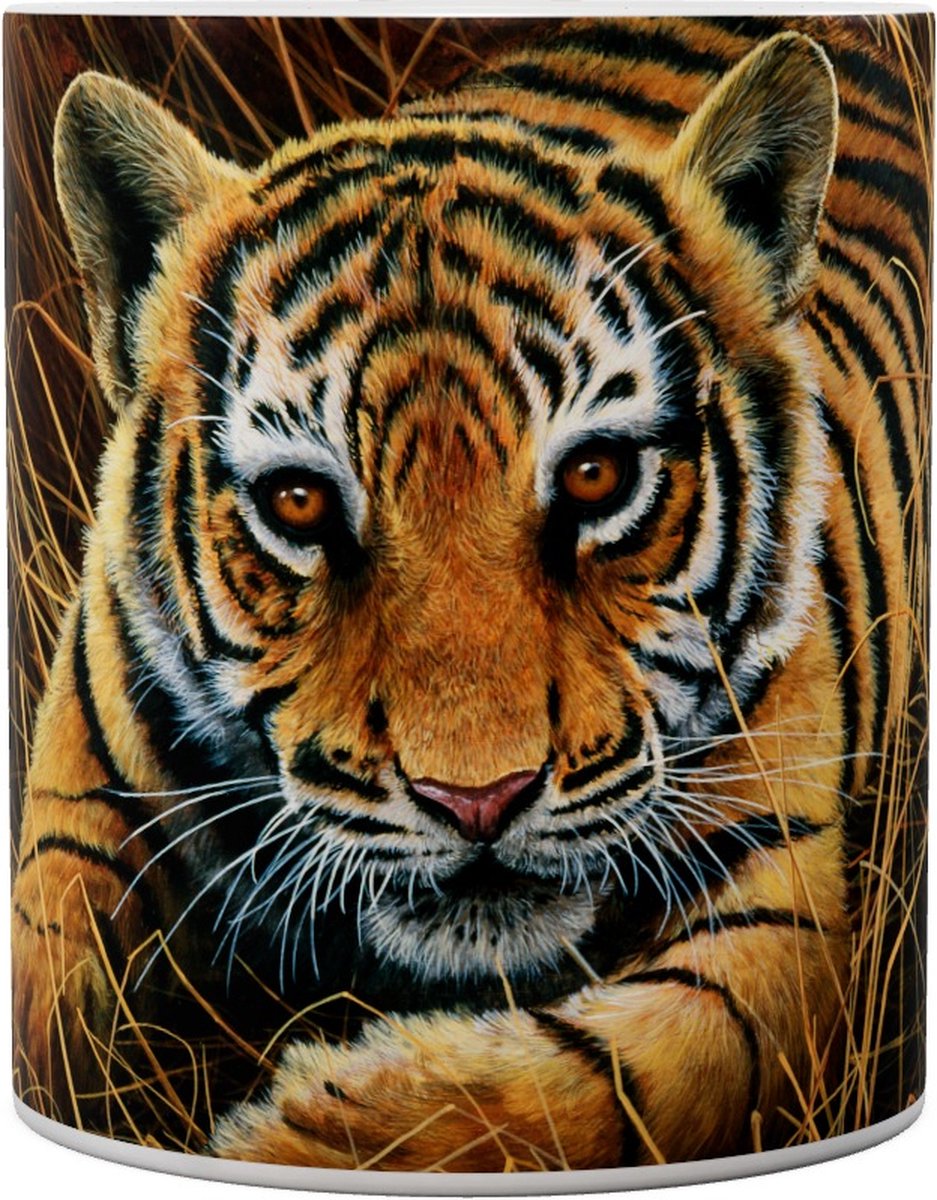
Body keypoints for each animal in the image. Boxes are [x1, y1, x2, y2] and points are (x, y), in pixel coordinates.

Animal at [11, 13, 929, 1172]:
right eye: (301, 502)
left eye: (596, 477)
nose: (477, 800)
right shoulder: (75, 825)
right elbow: (43, 986)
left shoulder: (780, 913)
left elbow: (606, 1086)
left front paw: (293, 1133)